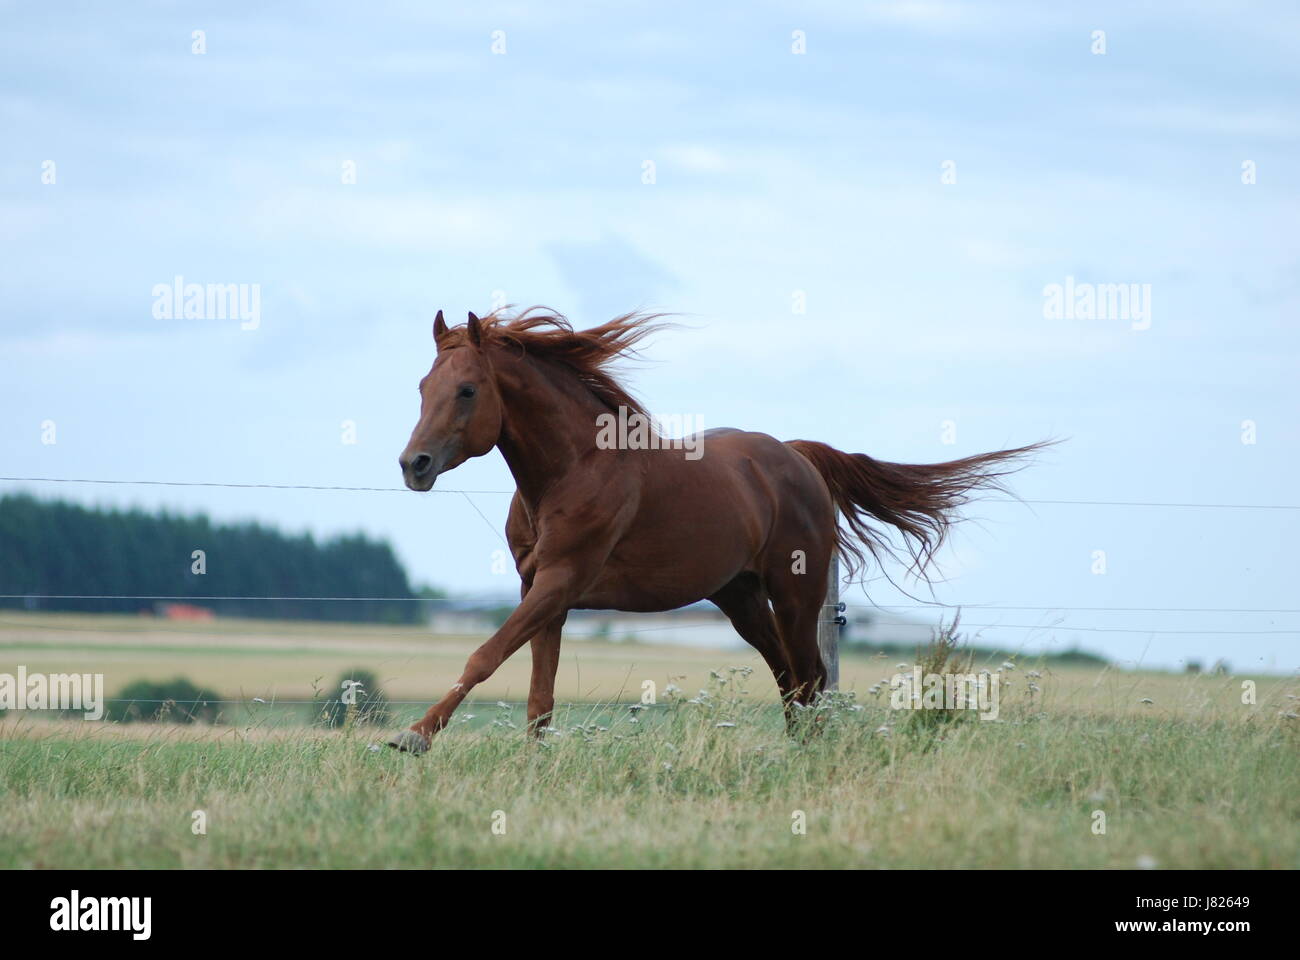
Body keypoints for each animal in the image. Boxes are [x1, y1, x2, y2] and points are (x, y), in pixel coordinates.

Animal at [389, 307, 1045, 753]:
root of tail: (797, 457)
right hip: (741, 597)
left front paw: (413, 737)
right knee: (788, 677)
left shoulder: (561, 581)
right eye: (422, 388)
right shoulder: (542, 592)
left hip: (796, 593)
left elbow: (485, 655)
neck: (572, 471)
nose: (412, 465)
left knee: (808, 675)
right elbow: (538, 694)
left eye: (467, 390)